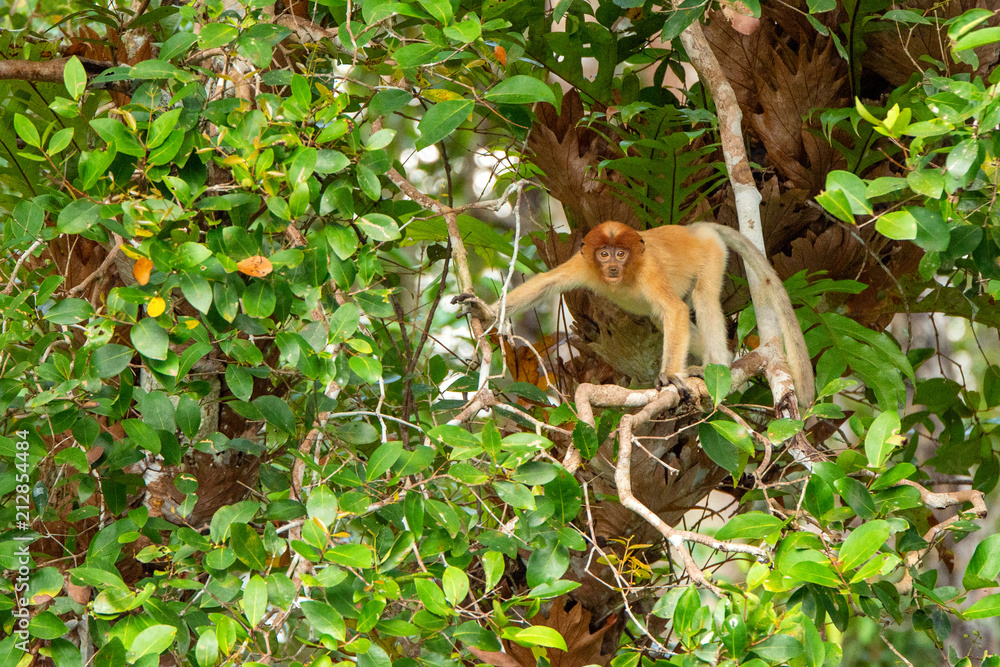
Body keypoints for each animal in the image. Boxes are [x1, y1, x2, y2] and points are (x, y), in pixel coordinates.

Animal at [453, 221, 814, 407]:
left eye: (621, 254)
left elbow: (675, 309)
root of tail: (696, 228)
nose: (612, 267)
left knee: (701, 298)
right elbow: (545, 284)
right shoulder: (583, 263)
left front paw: (668, 378)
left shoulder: (647, 268)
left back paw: (716, 366)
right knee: (660, 316)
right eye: (605, 253)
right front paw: (483, 309)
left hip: (712, 251)